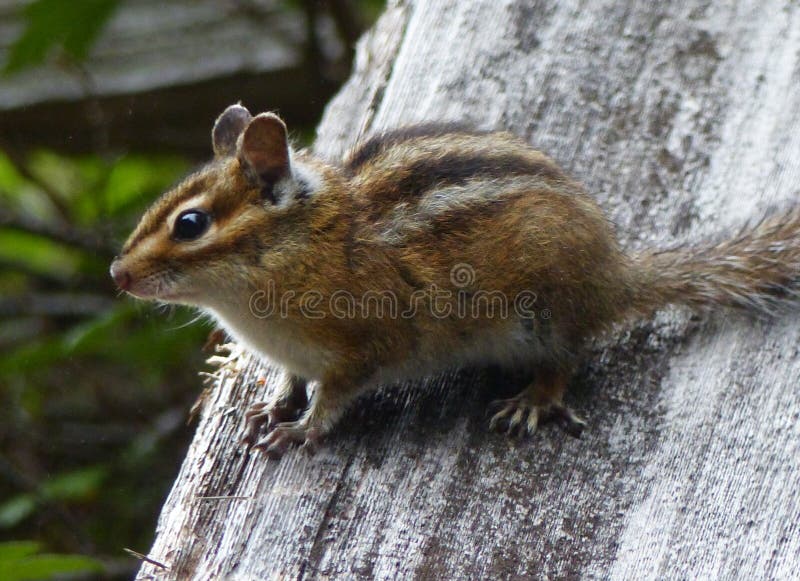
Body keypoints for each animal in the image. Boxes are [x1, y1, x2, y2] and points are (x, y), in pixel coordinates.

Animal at [110, 104, 800, 458]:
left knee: (569, 359)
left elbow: (333, 399)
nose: (118, 273)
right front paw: (272, 403)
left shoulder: (365, 347)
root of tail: (615, 275)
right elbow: (291, 379)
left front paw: (301, 430)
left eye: (190, 223)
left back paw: (534, 400)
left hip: (544, 316)